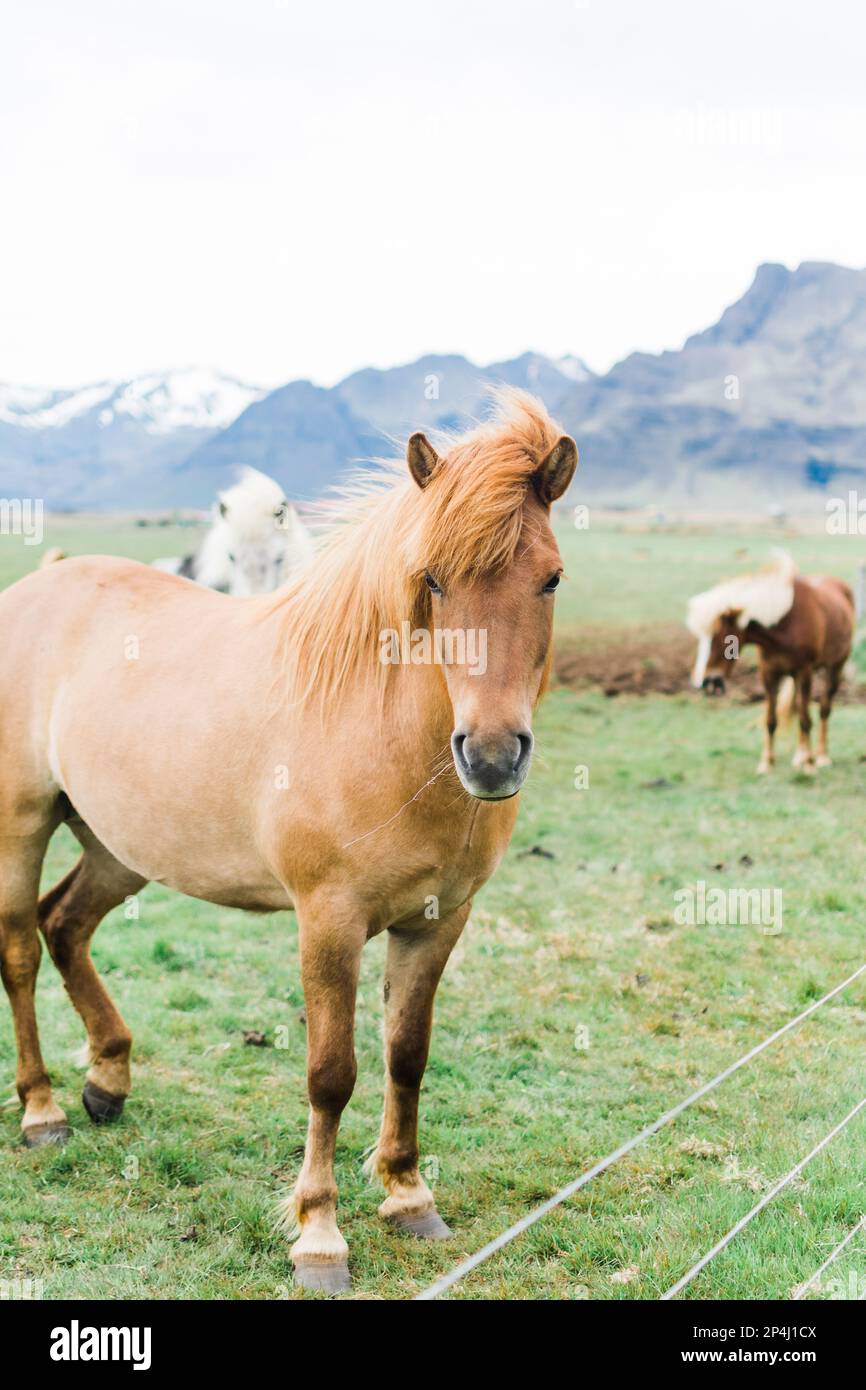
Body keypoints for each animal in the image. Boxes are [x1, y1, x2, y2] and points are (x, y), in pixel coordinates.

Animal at [687, 550, 855, 774]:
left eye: (718, 636)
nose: (705, 682)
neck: (784, 624)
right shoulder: (769, 674)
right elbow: (771, 720)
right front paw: (766, 763)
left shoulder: (805, 672)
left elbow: (806, 720)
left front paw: (810, 765)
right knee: (799, 706)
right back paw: (800, 756)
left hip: (834, 668)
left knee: (824, 709)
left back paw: (820, 756)